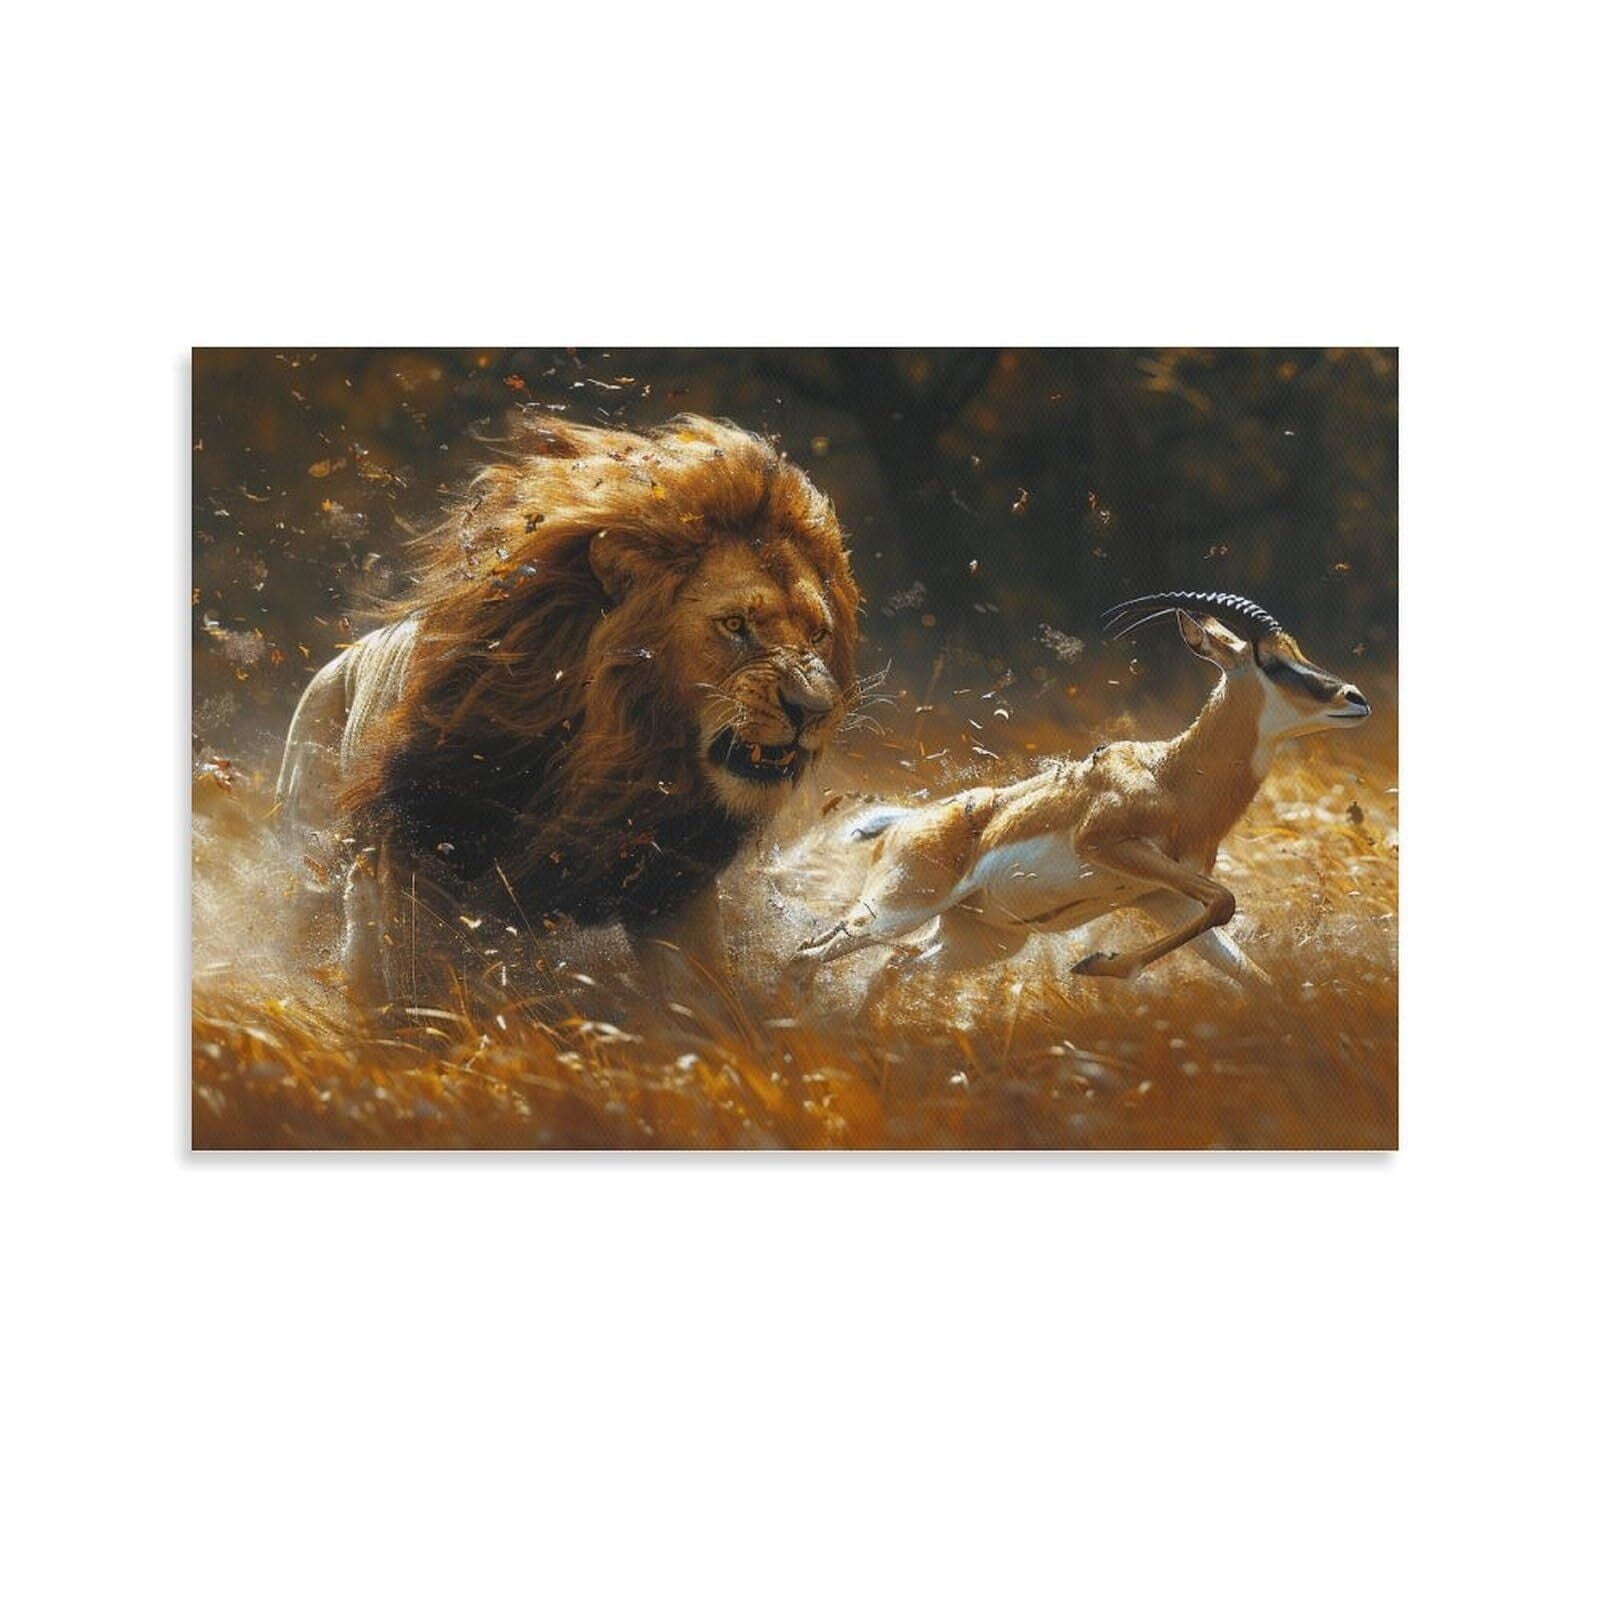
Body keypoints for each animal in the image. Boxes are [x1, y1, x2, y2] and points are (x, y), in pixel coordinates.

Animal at [276, 413, 860, 1009]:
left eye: (817, 634)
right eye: (735, 625)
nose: (815, 708)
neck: (616, 750)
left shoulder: (673, 889)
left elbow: (702, 1003)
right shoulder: (416, 855)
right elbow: (418, 985)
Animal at [789, 592, 1370, 996]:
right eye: (1274, 662)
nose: (1355, 698)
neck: (1172, 777)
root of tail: (903, 824)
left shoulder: (1161, 895)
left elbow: (1249, 967)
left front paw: (1099, 965)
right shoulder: (1110, 846)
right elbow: (1226, 901)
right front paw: (1097, 964)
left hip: (979, 941)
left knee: (891, 966)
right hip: (896, 909)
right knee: (808, 955)